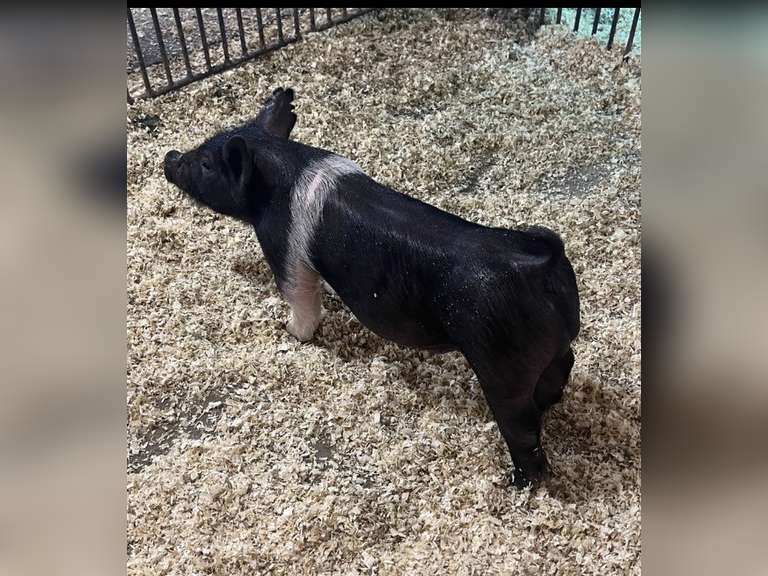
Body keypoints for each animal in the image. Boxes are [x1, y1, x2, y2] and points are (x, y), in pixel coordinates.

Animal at [163, 87, 580, 487]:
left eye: (206, 164)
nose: (169, 157)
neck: (280, 170)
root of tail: (542, 262)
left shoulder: (283, 249)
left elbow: (300, 297)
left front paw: (288, 332)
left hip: (502, 365)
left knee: (522, 430)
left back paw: (514, 482)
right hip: (554, 343)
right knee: (563, 368)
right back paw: (549, 405)